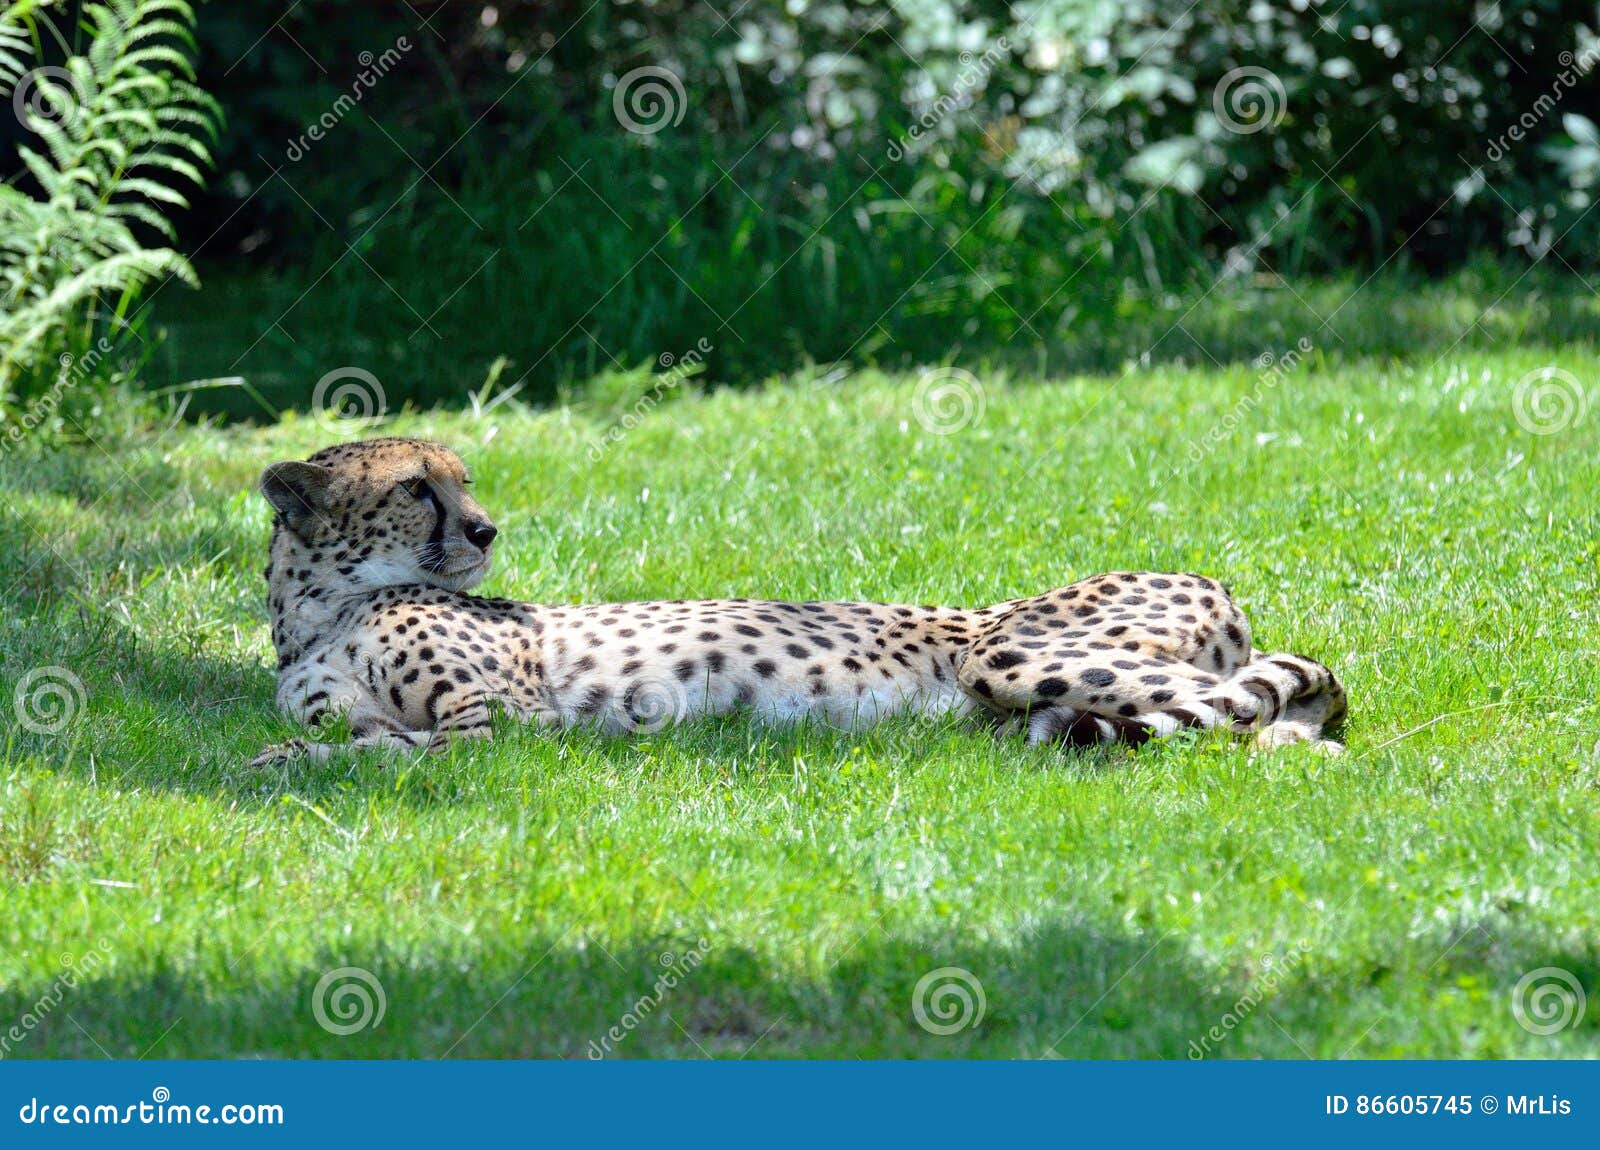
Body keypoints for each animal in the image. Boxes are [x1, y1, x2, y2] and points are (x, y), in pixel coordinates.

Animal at [251, 437, 1346, 766]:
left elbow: (409, 749)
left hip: (1006, 653)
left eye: (464, 481)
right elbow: (364, 738)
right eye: (415, 488)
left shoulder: (506, 722)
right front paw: (291, 755)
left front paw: (287, 762)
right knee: (1264, 714)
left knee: (1232, 701)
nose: (484, 531)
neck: (322, 614)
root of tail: (1214, 579)